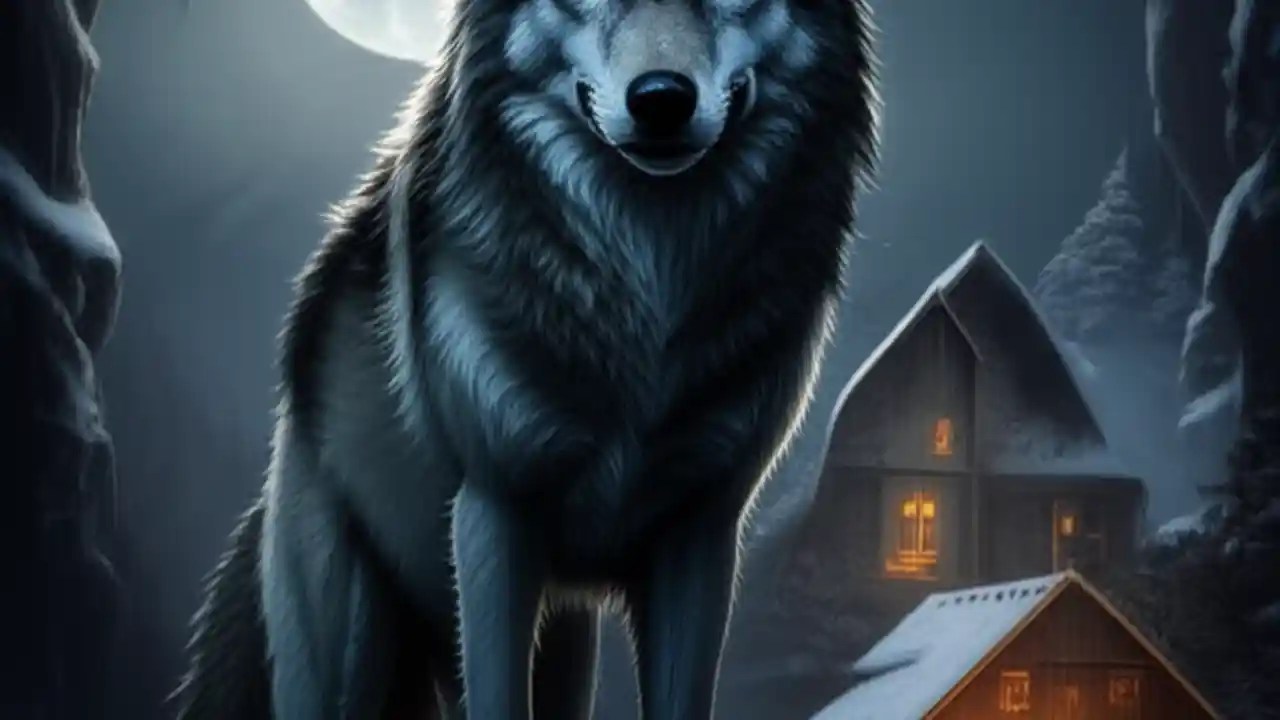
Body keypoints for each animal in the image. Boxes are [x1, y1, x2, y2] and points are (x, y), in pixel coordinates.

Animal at [174, 0, 876, 716]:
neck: (646, 299)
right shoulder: (494, 516)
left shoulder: (699, 534)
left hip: (563, 639)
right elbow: (498, 692)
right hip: (347, 650)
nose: (661, 100)